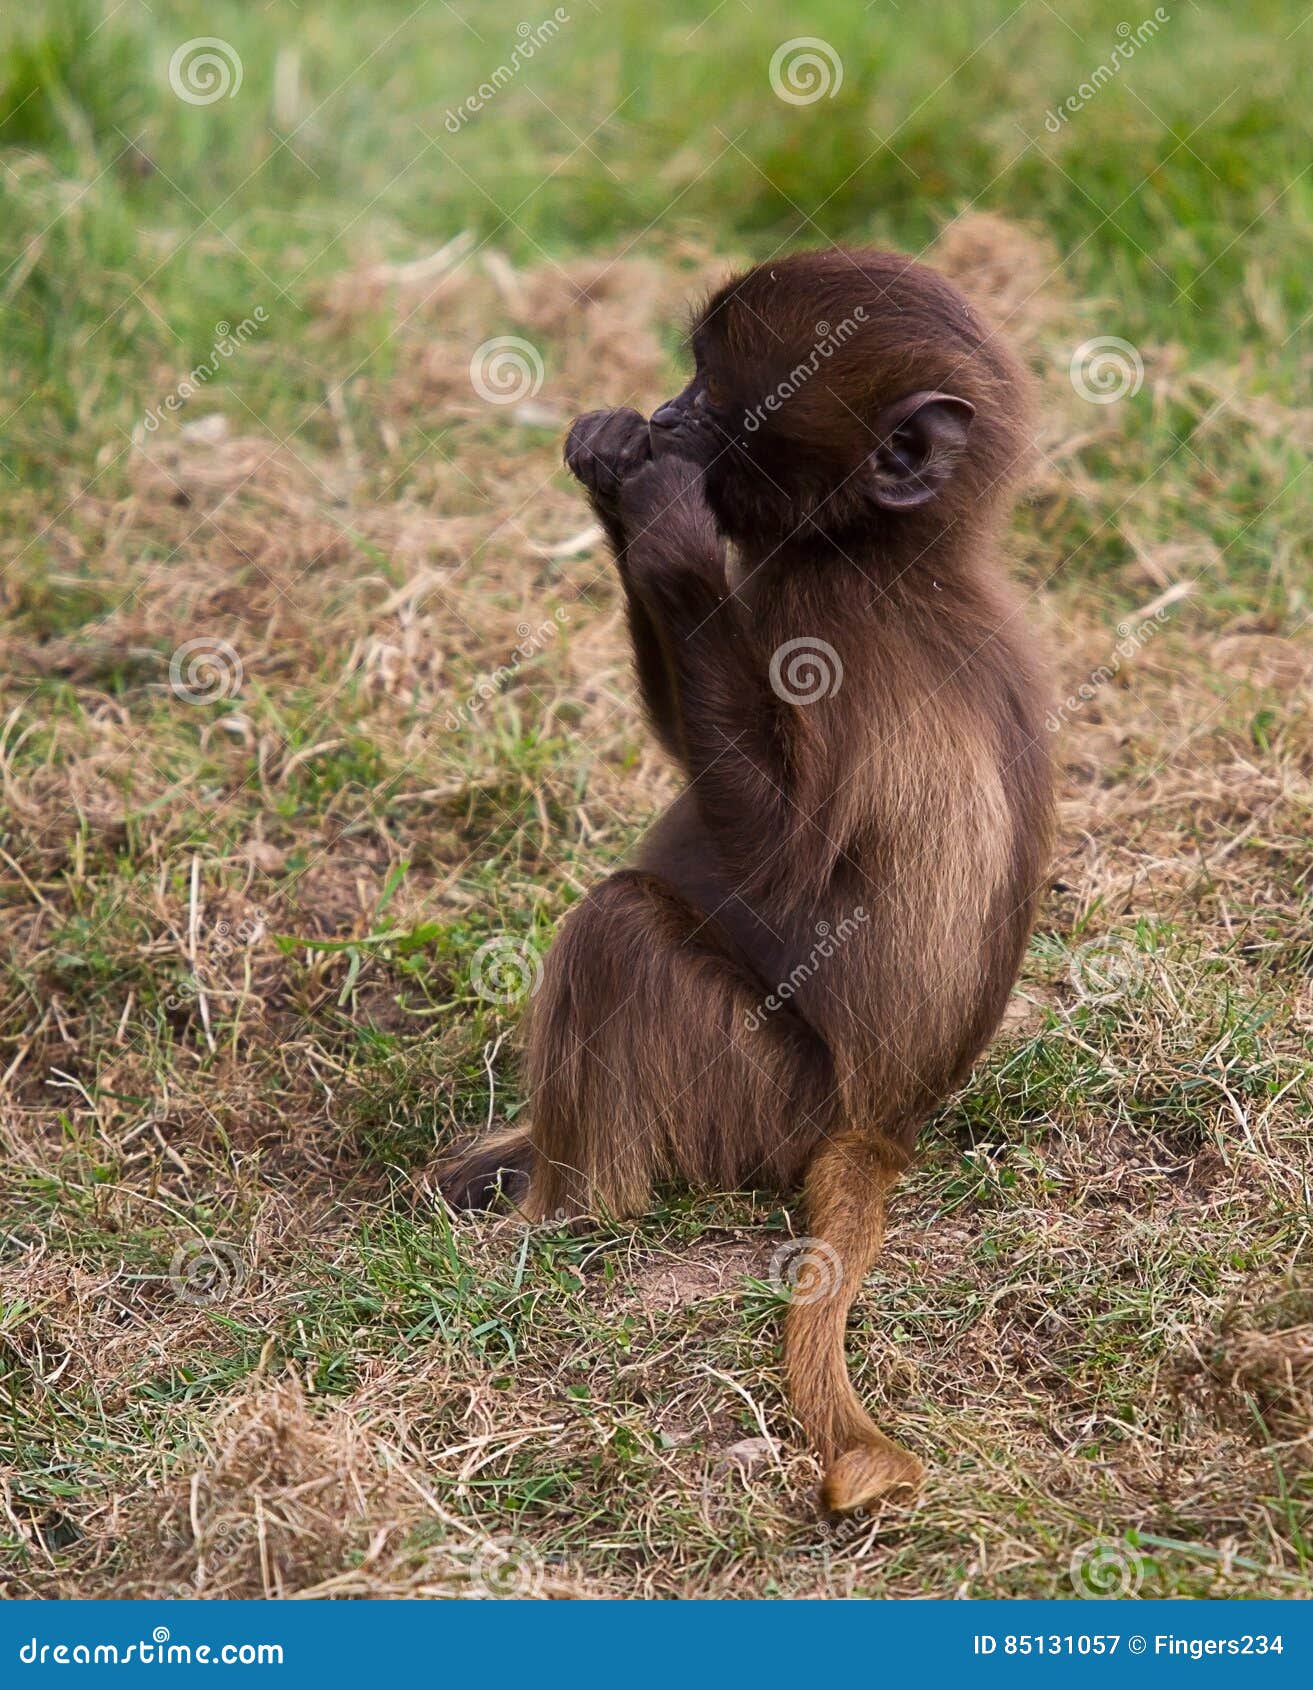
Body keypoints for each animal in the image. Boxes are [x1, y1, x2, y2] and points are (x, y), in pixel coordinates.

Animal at [441, 247, 1053, 1515]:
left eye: (720, 393)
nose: (666, 418)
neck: (883, 553)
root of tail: (882, 1123)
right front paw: (608, 474)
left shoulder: (827, 628)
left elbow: (776, 856)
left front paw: (667, 536)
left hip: (762, 1098)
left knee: (619, 928)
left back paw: (552, 1216)